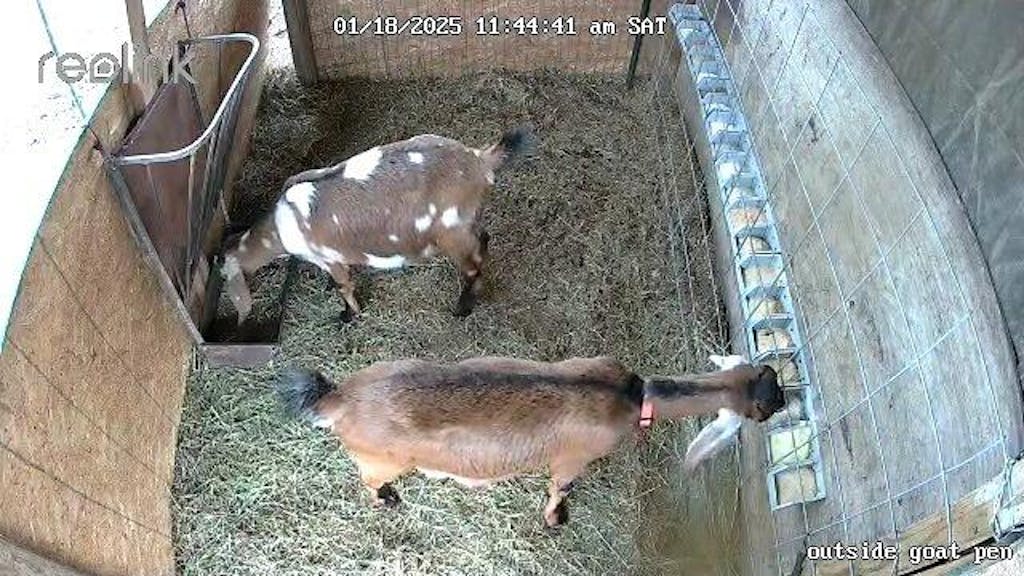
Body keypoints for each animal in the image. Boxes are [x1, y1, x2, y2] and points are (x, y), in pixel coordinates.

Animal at [221, 126, 536, 324]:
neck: (281, 223)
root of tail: (479, 160)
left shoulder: (325, 255)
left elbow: (344, 286)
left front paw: (349, 315)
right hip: (468, 222)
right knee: (484, 239)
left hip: (452, 232)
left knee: (472, 266)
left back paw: (462, 308)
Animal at [276, 354, 784, 527]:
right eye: (768, 404)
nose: (785, 400)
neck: (630, 397)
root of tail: (337, 397)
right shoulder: (573, 460)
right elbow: (562, 488)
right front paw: (556, 519)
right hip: (383, 461)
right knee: (368, 482)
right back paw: (388, 500)